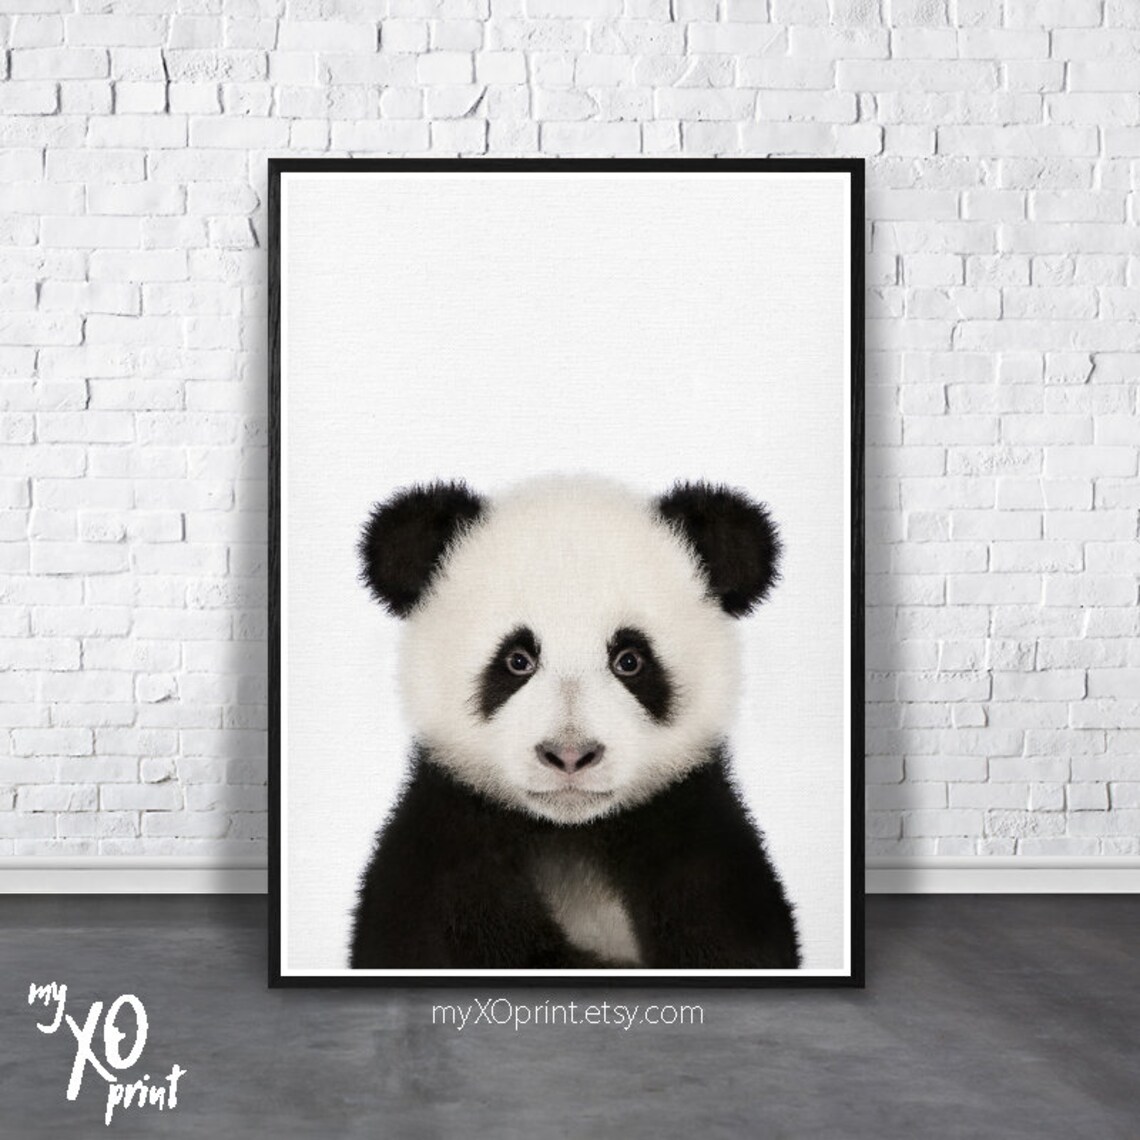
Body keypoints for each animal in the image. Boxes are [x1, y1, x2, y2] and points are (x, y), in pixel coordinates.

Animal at [348, 475, 800, 970]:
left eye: (630, 660)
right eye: (517, 660)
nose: (569, 754)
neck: (571, 833)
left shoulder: (695, 839)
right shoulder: (444, 846)